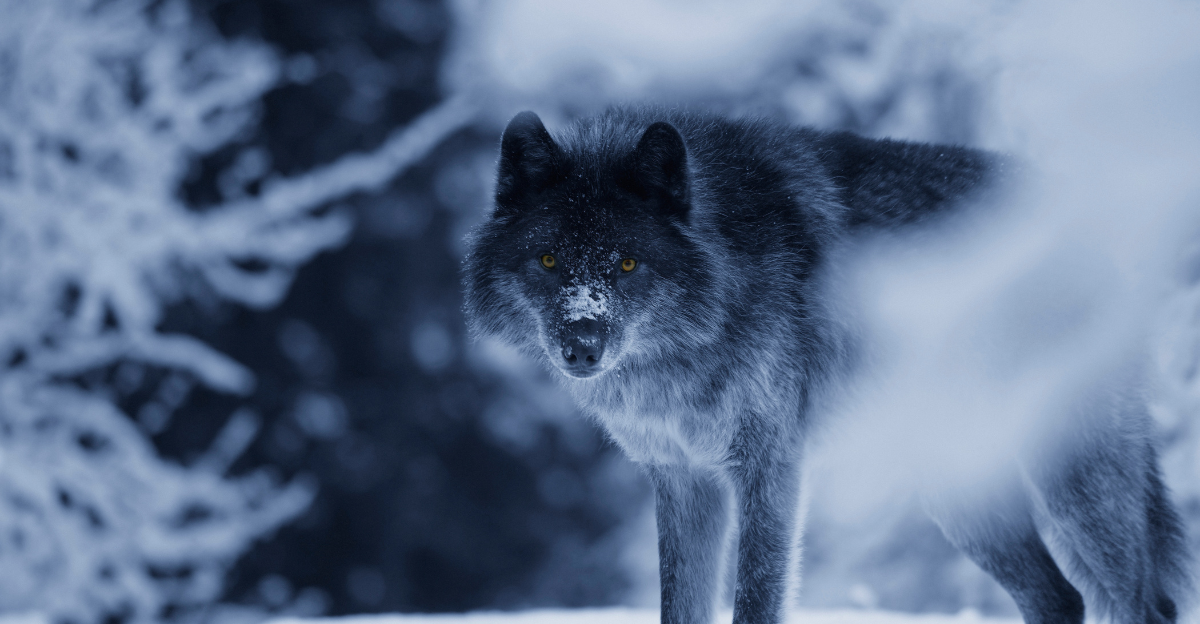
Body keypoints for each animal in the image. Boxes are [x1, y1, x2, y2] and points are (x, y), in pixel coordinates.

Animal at [461, 107, 1191, 624]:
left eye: (627, 263)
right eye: (549, 260)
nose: (581, 345)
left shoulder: (771, 468)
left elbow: (756, 600)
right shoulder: (683, 480)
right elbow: (681, 606)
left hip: (1073, 478)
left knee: (1143, 605)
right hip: (961, 495)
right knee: (1059, 599)